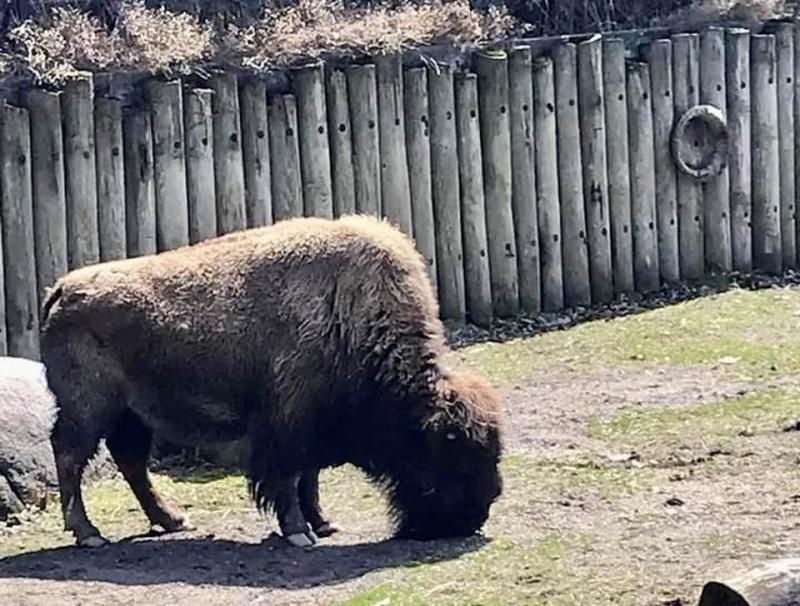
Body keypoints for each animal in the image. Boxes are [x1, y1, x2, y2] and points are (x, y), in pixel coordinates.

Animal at [40, 214, 504, 548]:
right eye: (451, 453)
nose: (475, 517)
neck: (352, 318)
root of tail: (62, 287)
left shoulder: (311, 425)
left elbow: (308, 477)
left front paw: (323, 524)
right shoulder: (288, 423)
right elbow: (289, 477)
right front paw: (300, 532)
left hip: (132, 414)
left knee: (130, 461)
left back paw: (172, 521)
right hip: (89, 409)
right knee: (71, 457)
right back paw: (89, 535)